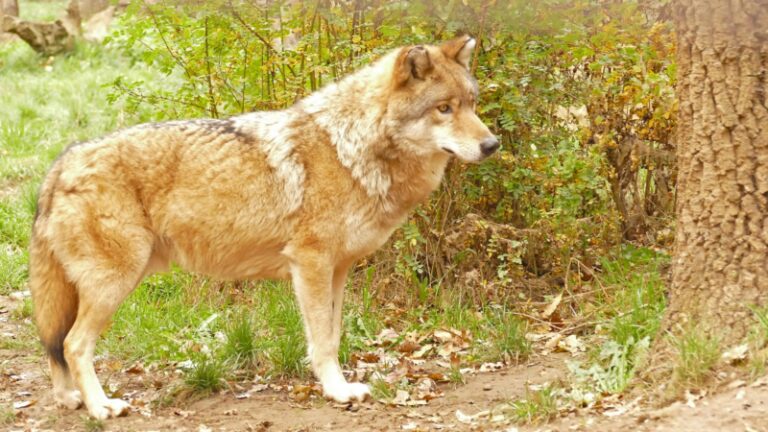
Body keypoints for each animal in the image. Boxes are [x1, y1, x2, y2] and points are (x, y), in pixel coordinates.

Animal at [29, 35, 499, 420]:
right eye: (444, 108)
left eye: (472, 104)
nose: (492, 145)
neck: (352, 148)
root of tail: (63, 161)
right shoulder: (311, 264)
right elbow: (323, 340)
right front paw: (338, 392)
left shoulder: (338, 270)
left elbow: (332, 334)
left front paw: (338, 386)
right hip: (115, 283)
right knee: (72, 345)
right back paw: (100, 407)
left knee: (57, 343)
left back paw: (70, 400)